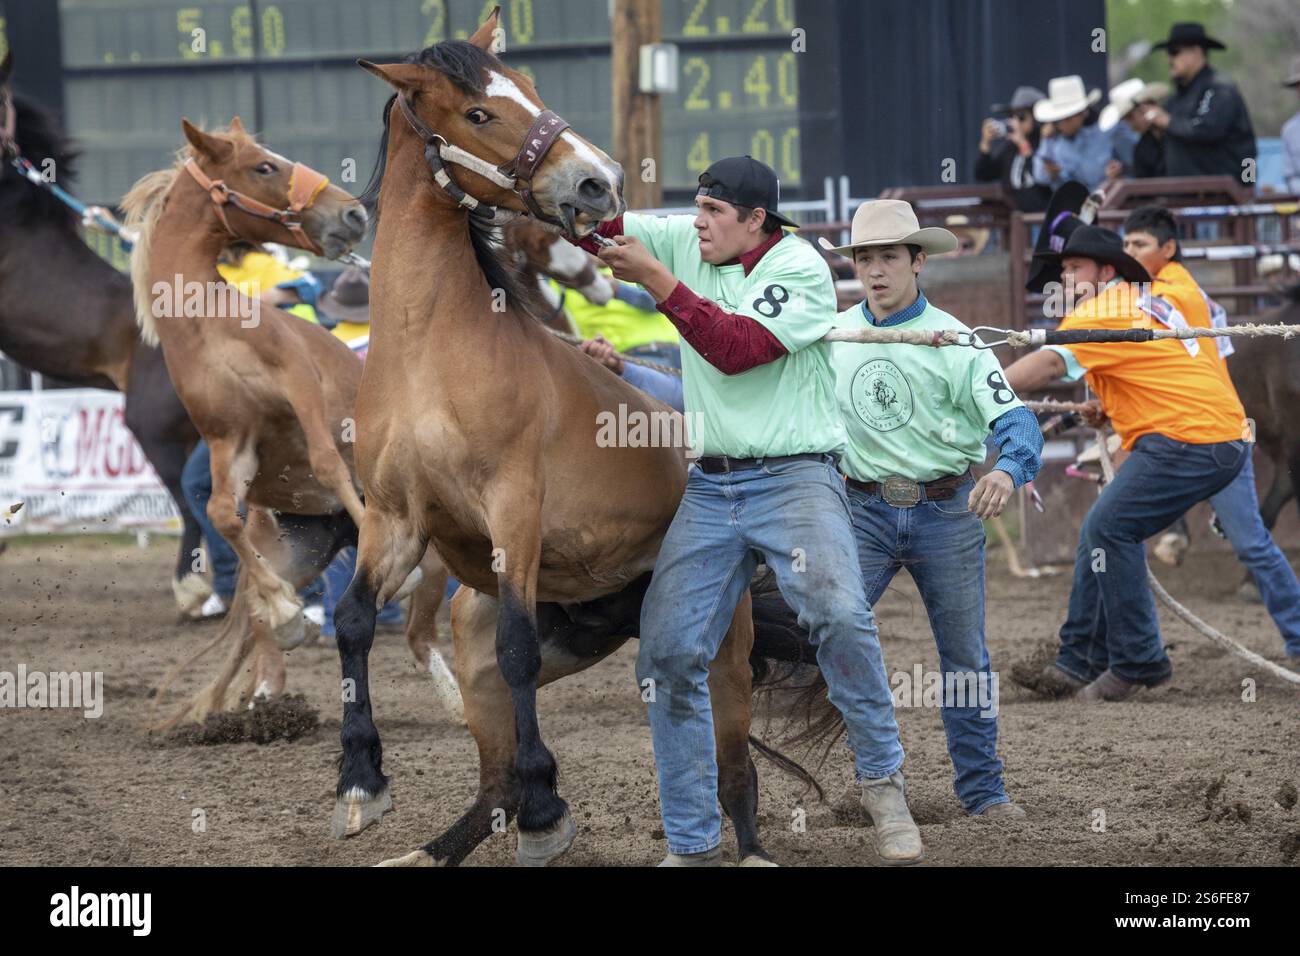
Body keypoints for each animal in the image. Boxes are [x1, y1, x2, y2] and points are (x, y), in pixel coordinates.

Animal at [331, 10, 824, 868]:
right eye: (479, 112)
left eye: (530, 88)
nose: (598, 182)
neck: (431, 353)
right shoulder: (395, 520)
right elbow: (354, 620)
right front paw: (362, 783)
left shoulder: (514, 513)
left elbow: (520, 648)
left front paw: (545, 808)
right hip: (490, 633)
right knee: (491, 770)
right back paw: (435, 847)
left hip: (721, 656)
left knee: (736, 773)